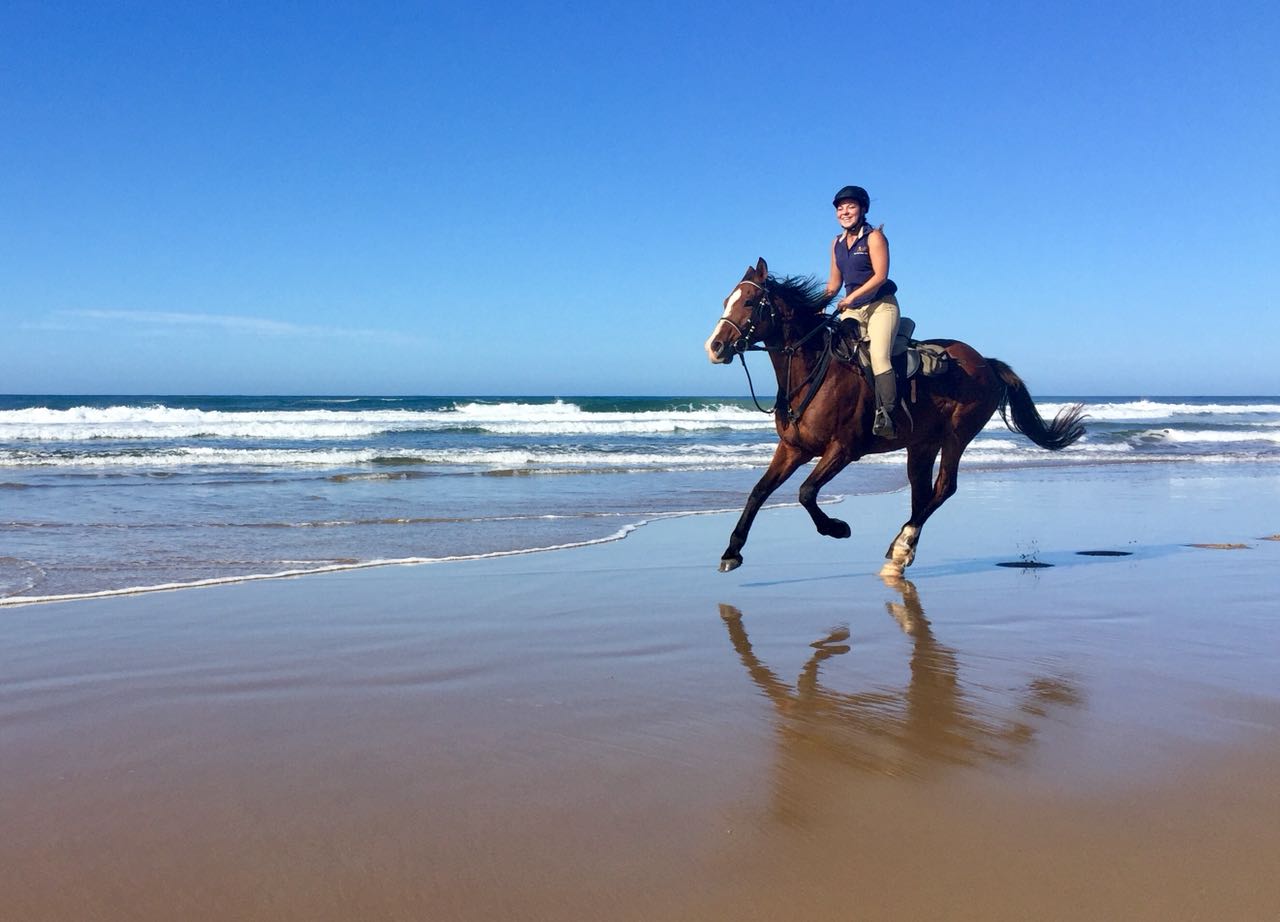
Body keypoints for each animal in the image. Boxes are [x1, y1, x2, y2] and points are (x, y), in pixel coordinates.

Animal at [703, 258, 1085, 577]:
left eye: (749, 302)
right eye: (725, 301)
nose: (715, 347)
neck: (813, 371)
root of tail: (986, 363)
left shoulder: (843, 449)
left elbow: (806, 492)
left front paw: (838, 528)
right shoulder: (794, 449)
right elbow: (758, 492)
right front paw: (731, 552)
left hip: (957, 436)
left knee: (944, 487)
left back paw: (902, 546)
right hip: (922, 444)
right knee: (922, 493)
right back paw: (902, 551)